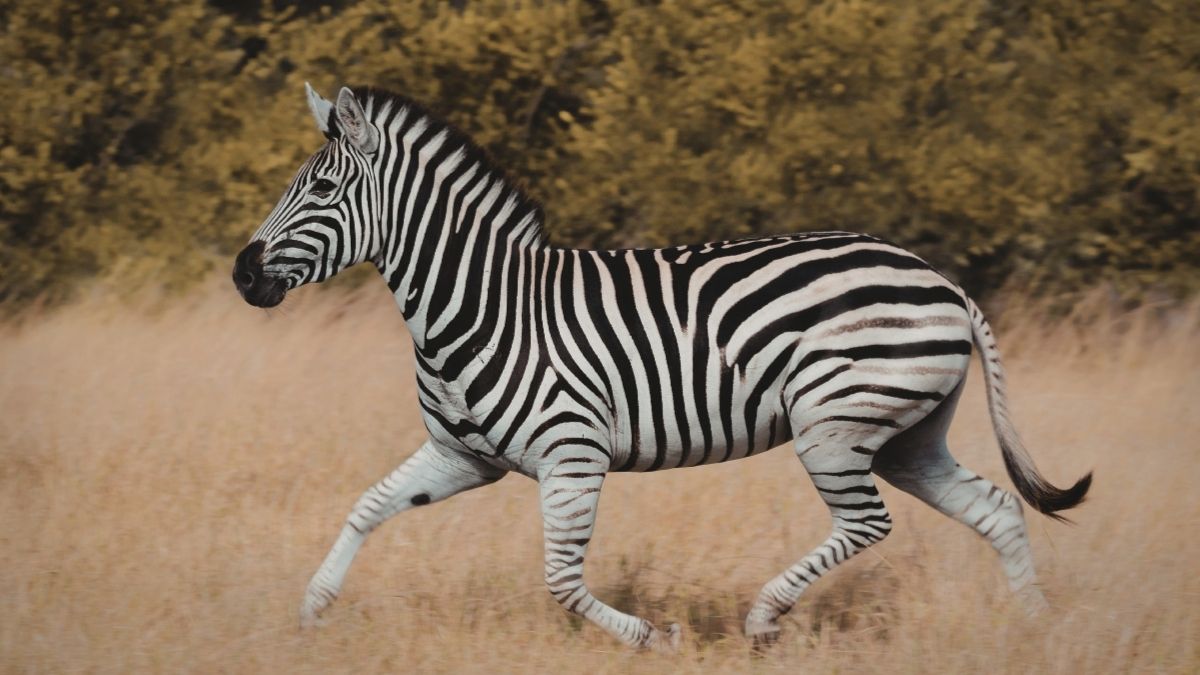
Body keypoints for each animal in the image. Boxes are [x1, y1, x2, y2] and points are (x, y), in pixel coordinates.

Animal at [232, 84, 1091, 651]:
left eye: (323, 187)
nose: (243, 275)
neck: (482, 303)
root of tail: (943, 281)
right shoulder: (461, 455)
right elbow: (367, 507)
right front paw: (311, 611)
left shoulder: (571, 454)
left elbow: (562, 580)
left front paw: (655, 636)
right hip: (906, 434)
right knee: (996, 509)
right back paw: (1037, 629)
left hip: (835, 424)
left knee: (868, 521)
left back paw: (763, 617)